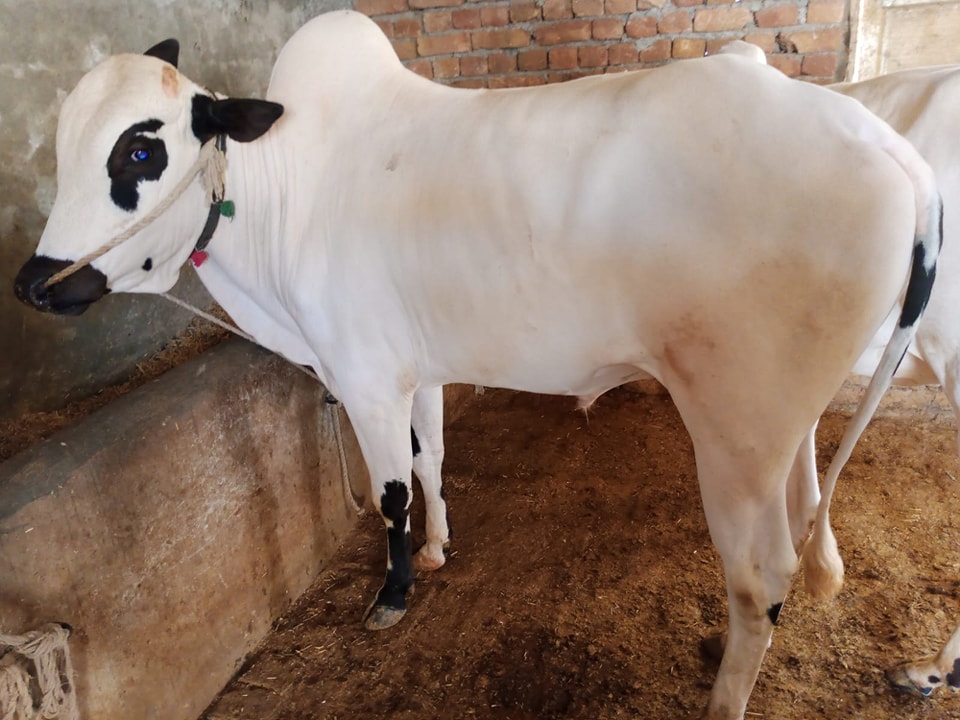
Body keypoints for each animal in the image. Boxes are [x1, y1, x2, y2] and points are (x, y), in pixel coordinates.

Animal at [12, 11, 942, 719]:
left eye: (140, 150)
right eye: (61, 146)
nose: (34, 282)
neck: (287, 192)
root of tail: (887, 147)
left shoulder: (363, 376)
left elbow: (388, 490)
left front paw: (390, 595)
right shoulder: (417, 370)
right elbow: (431, 461)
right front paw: (436, 549)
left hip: (737, 431)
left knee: (759, 576)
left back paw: (724, 697)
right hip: (782, 423)